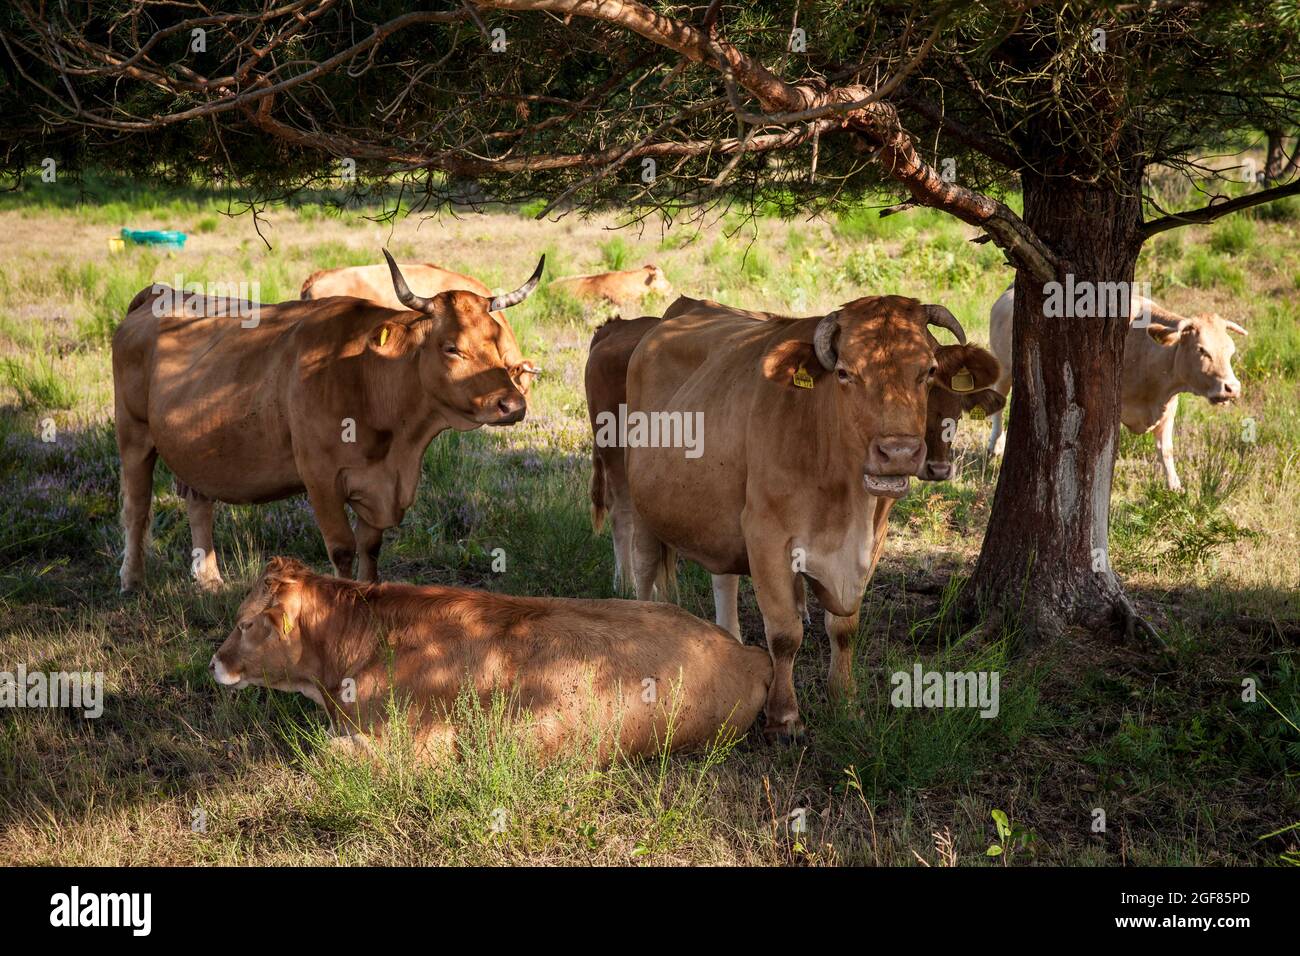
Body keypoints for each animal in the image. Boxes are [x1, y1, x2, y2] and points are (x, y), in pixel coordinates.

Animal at [113, 251, 543, 592]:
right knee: (136, 507)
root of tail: (157, 292)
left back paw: (209, 579)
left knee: (199, 501)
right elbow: (342, 548)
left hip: (195, 447)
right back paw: (132, 581)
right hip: (133, 434)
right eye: (451, 347)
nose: (511, 405)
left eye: (494, 341)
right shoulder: (320, 476)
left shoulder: (378, 485)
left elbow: (370, 548)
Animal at [610, 294, 969, 739]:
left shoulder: (873, 539)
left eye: (929, 371)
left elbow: (844, 628)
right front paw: (784, 717)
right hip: (643, 504)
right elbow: (784, 633)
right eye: (845, 372)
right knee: (644, 571)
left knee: (723, 580)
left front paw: (845, 700)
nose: (898, 452)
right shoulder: (767, 535)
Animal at [986, 287, 1246, 490]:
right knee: (998, 399)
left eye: (1231, 350)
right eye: (1202, 350)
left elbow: (1166, 449)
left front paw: (1174, 487)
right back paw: (995, 444)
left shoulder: (1169, 406)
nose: (1232, 387)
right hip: (1004, 368)